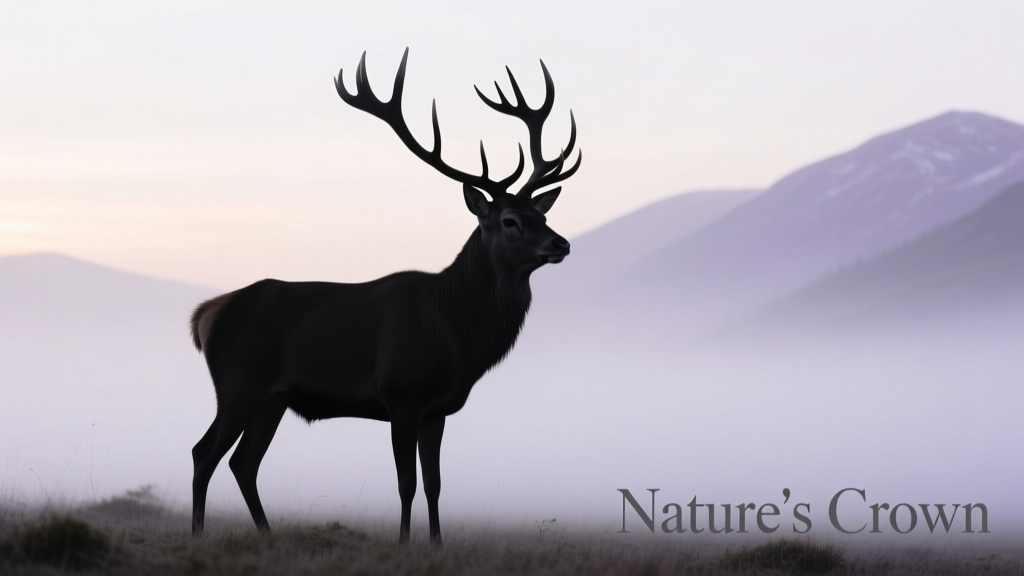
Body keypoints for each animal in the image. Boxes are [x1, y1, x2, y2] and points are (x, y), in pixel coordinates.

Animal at [188, 48, 580, 546]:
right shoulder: (402, 396)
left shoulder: (438, 410)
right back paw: (198, 535)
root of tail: (204, 316)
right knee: (205, 453)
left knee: (243, 463)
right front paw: (404, 543)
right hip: (239, 383)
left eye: (541, 215)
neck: (457, 335)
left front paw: (435, 544)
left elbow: (434, 483)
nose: (560, 244)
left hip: (272, 398)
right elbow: (406, 483)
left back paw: (267, 534)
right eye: (510, 220)